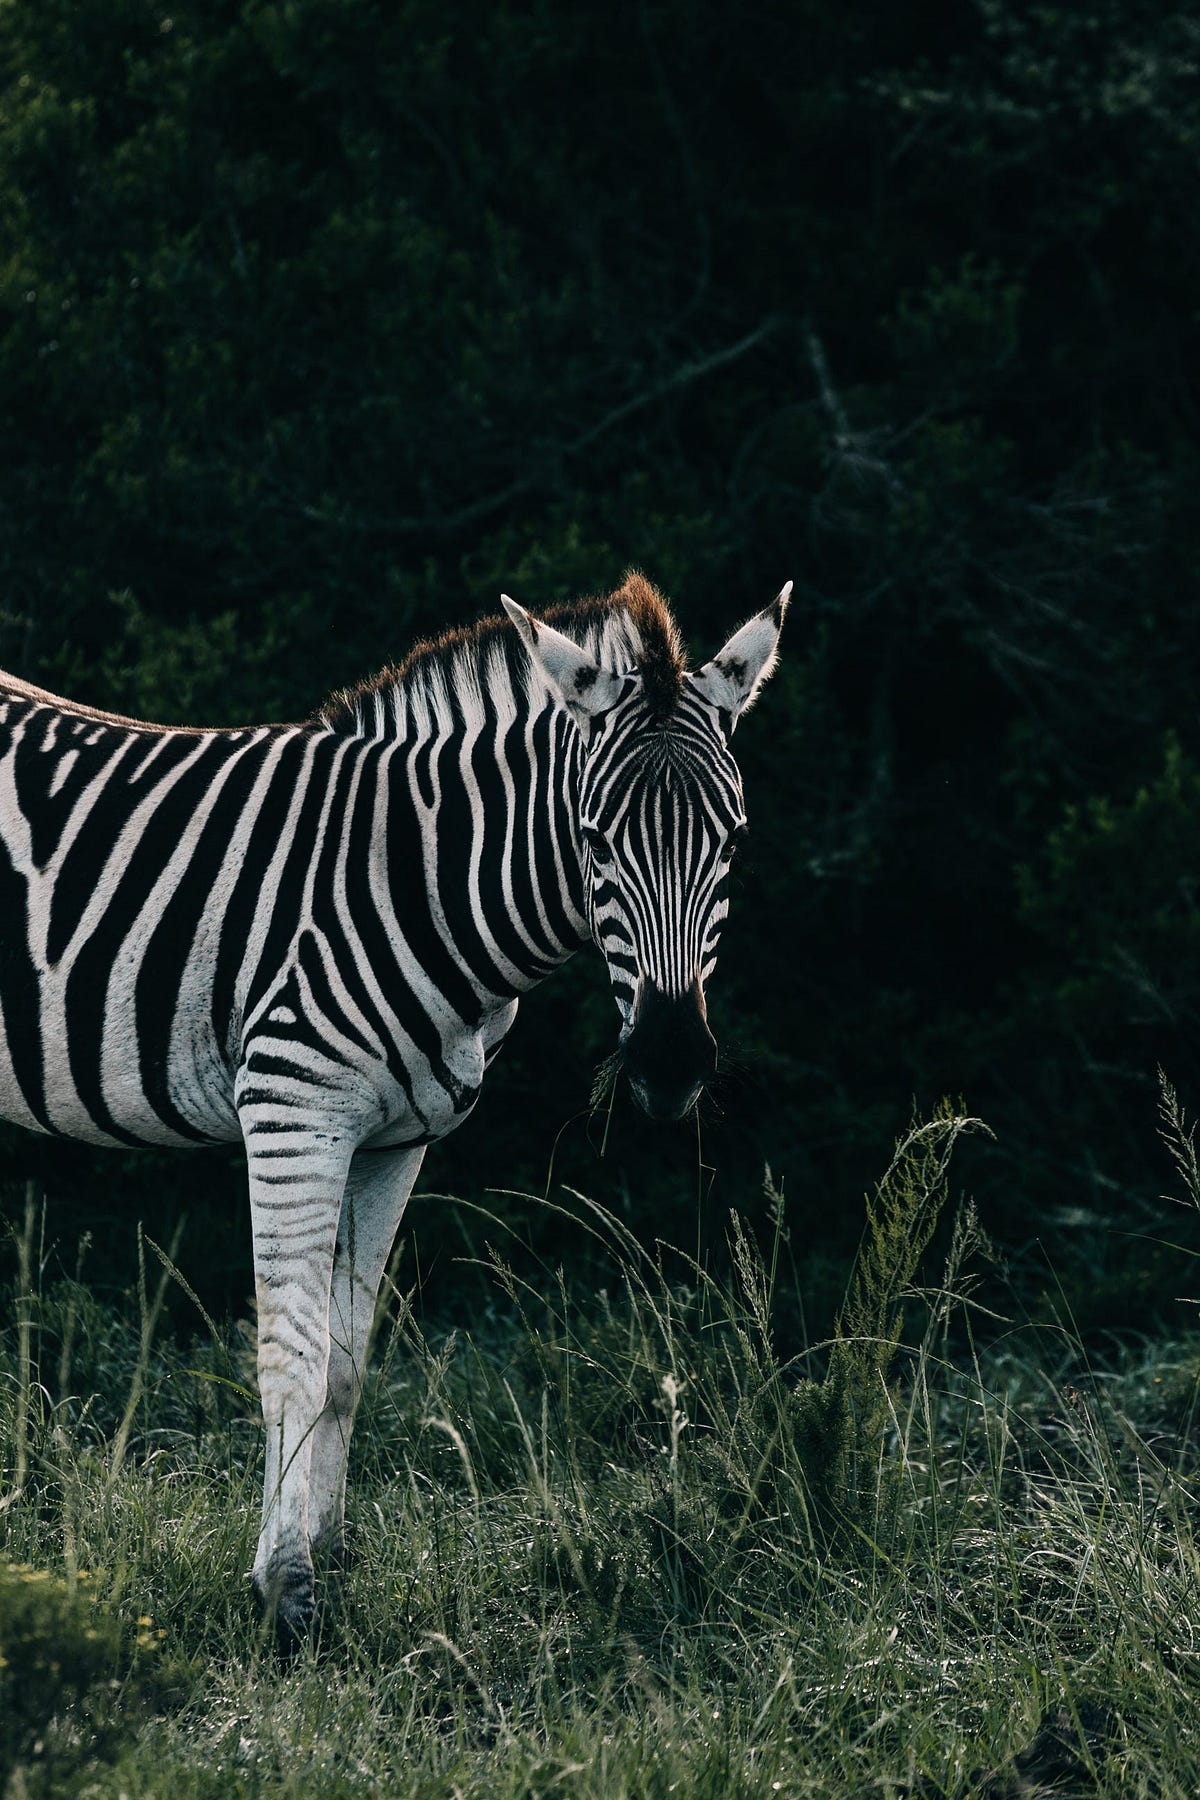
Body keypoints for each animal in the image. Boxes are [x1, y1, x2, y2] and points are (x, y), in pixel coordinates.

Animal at [0, 571, 787, 1642]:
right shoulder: (293, 1106)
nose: (670, 1063)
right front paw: (285, 1593)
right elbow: (290, 1354)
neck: (417, 880)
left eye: (733, 840)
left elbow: (347, 1362)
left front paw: (327, 1560)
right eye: (593, 839)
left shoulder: (391, 1143)